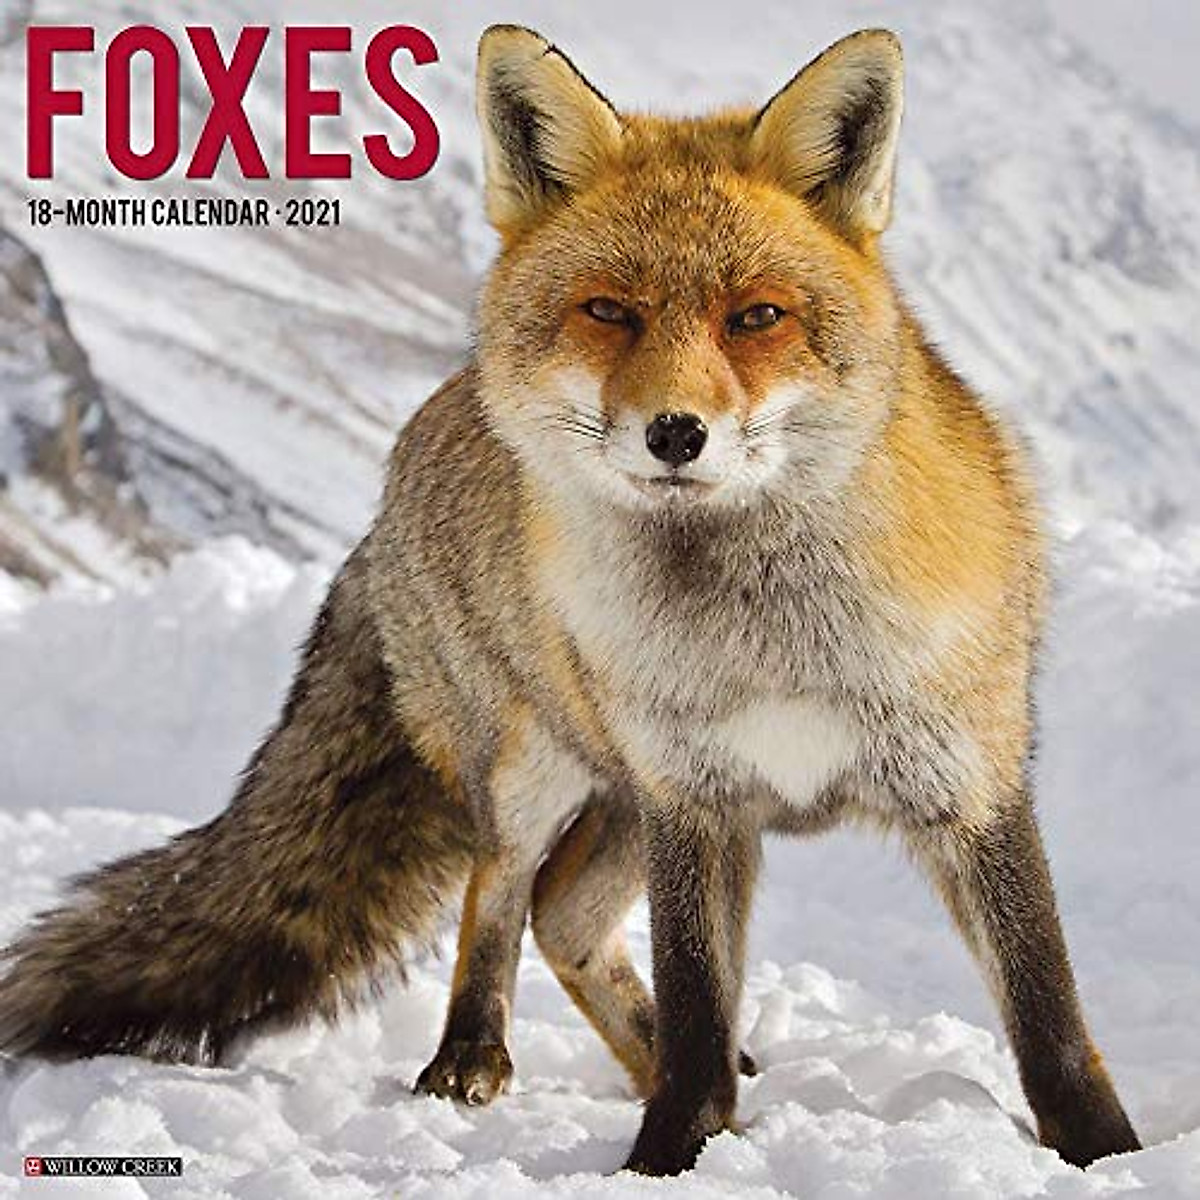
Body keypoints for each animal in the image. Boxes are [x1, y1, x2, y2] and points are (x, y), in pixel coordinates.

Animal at [0, 25, 1141, 1176]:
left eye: (757, 317)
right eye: (609, 312)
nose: (676, 432)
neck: (768, 636)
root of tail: (417, 439)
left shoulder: (968, 788)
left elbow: (1048, 1015)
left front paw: (1108, 1154)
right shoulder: (695, 805)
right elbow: (695, 1006)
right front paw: (671, 1159)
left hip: (624, 802)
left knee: (565, 918)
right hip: (535, 770)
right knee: (505, 891)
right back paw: (474, 1056)